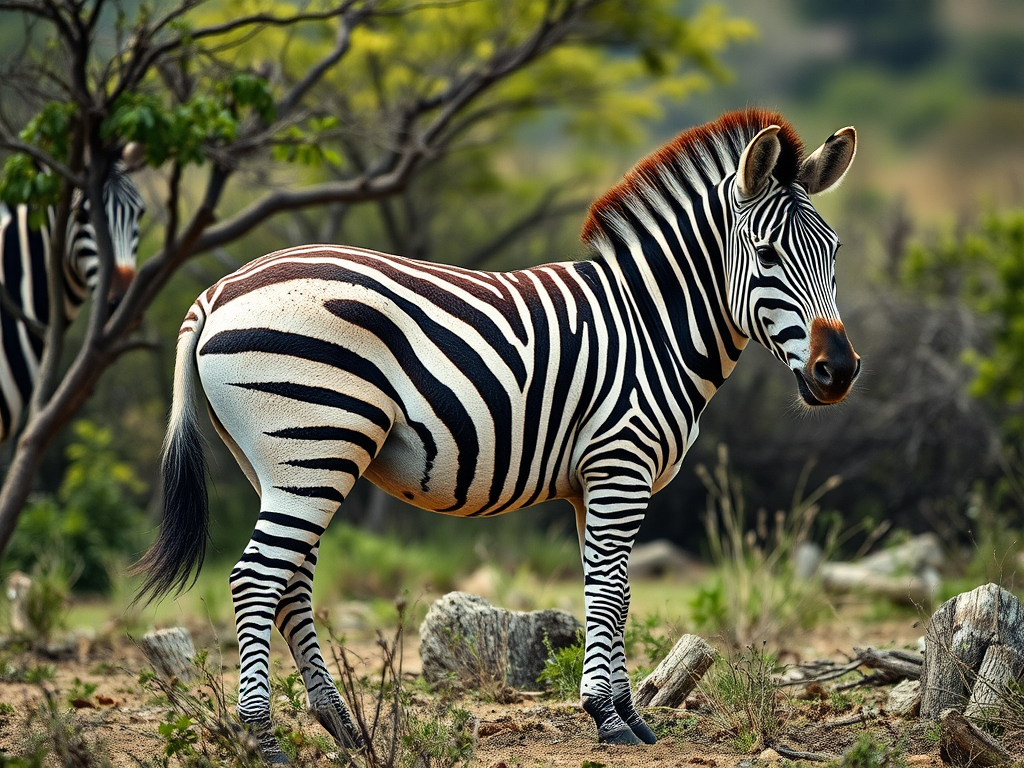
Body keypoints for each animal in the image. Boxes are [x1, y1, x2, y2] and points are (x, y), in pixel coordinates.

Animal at [134, 108, 859, 757]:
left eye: (834, 251)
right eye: (766, 255)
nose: (841, 371)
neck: (652, 325)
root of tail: (218, 291)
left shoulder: (592, 483)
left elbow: (615, 591)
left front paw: (625, 711)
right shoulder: (619, 464)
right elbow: (610, 590)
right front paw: (610, 719)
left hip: (282, 465)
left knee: (291, 584)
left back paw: (343, 726)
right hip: (315, 446)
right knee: (256, 579)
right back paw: (263, 738)